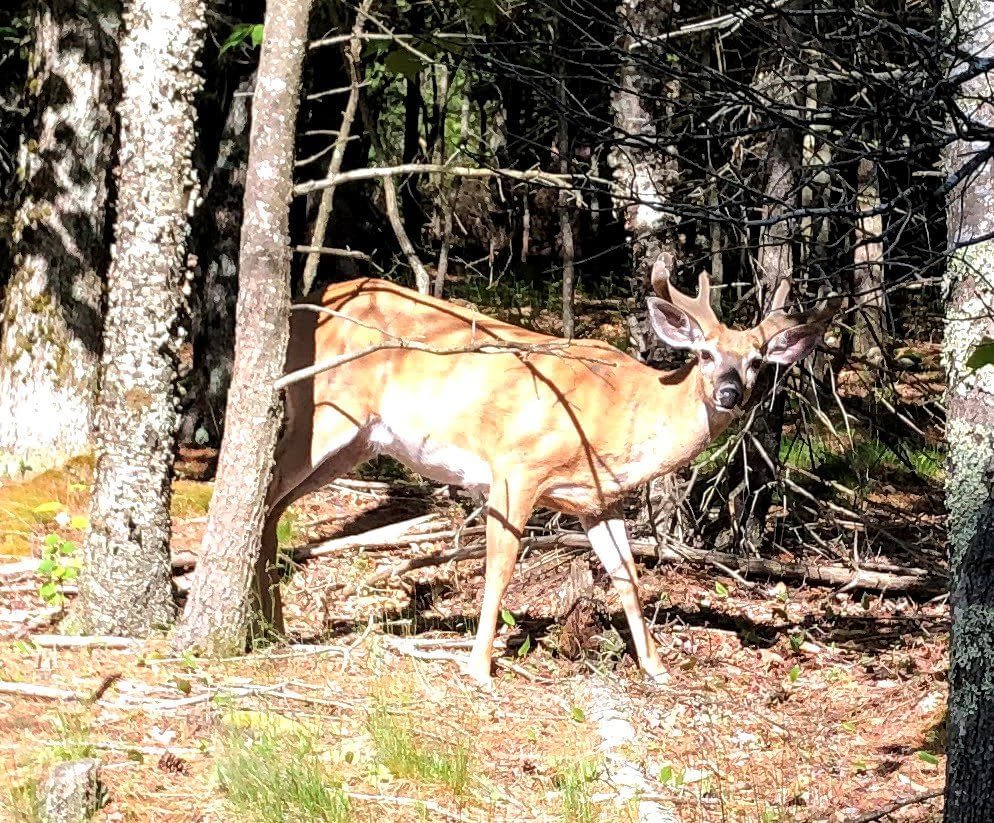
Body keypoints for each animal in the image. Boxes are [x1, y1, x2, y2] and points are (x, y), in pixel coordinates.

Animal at [261, 256, 838, 687]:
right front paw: (479, 667)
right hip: (325, 410)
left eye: (758, 361)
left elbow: (627, 575)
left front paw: (655, 667)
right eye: (704, 353)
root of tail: (308, 304)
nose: (729, 393)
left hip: (358, 440)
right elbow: (501, 567)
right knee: (266, 492)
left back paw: (271, 621)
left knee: (275, 503)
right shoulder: (515, 466)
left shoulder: (597, 499)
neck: (619, 414)